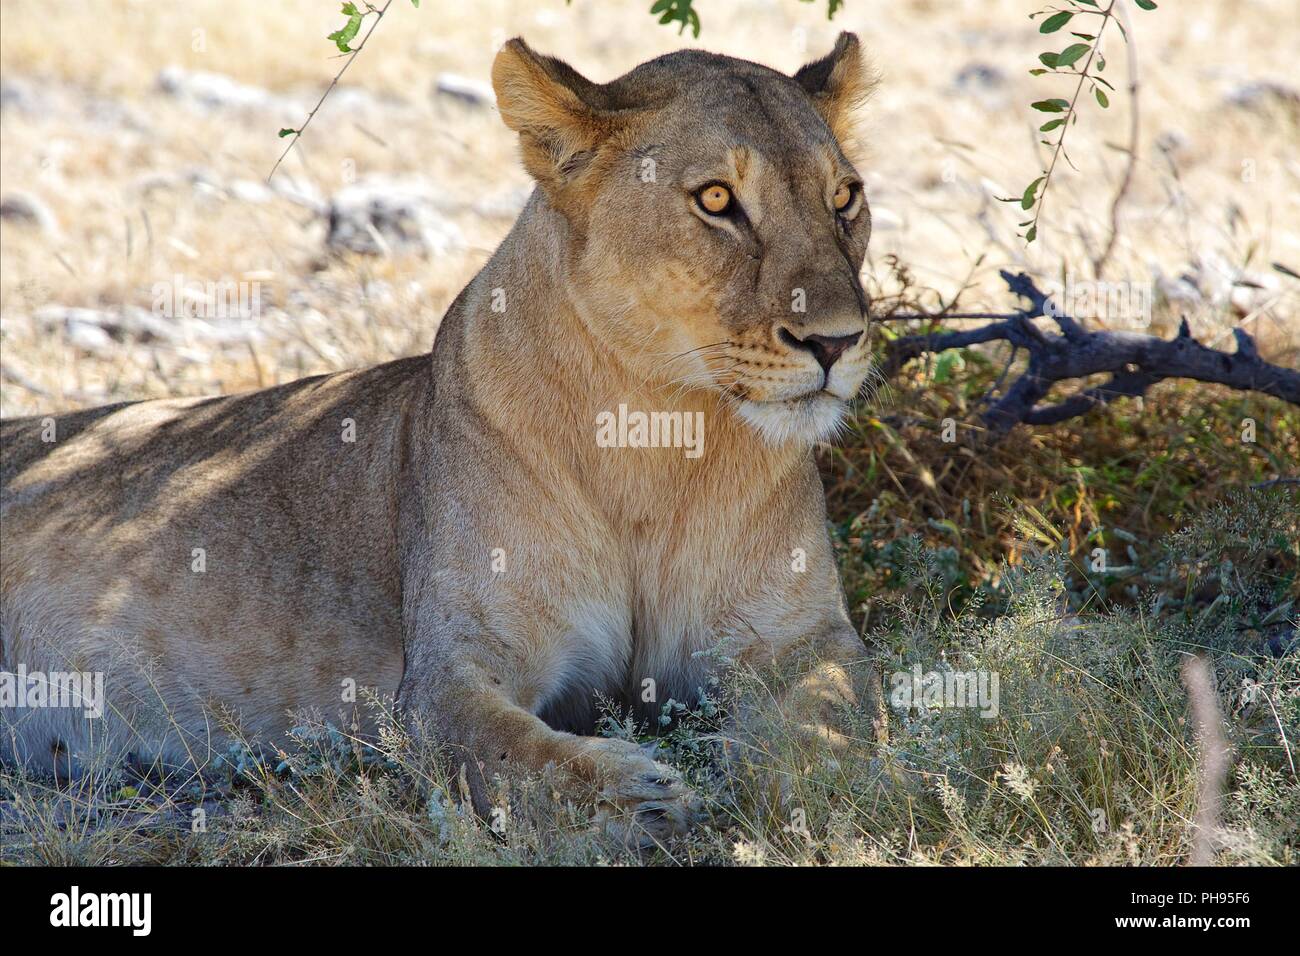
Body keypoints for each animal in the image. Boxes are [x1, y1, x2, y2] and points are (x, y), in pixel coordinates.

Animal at [1, 33, 879, 844]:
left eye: (845, 197)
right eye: (717, 199)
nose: (838, 340)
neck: (660, 435)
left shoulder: (802, 638)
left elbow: (833, 718)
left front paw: (817, 790)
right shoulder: (446, 674)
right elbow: (504, 751)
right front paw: (637, 798)